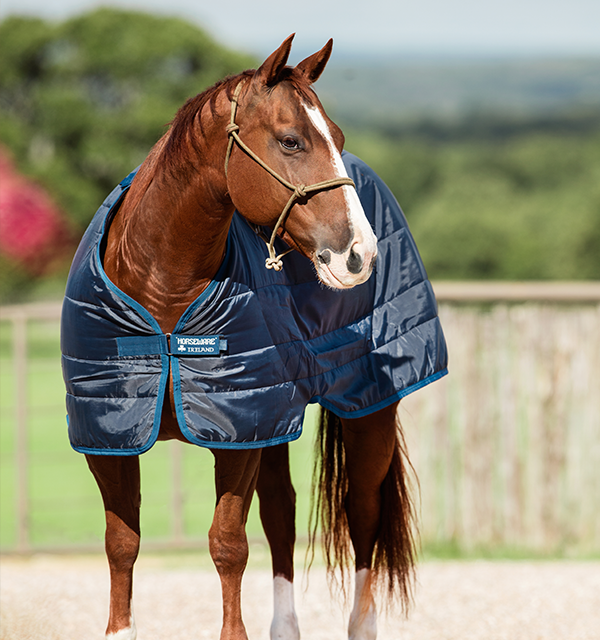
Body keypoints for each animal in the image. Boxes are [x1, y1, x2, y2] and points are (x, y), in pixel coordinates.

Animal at [61, 35, 447, 640]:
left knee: (362, 512)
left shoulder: (237, 433)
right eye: (291, 141)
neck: (162, 296)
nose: (360, 253)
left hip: (368, 410)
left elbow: (228, 545)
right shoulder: (109, 433)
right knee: (282, 514)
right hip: (275, 421)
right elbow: (121, 543)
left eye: (338, 137)